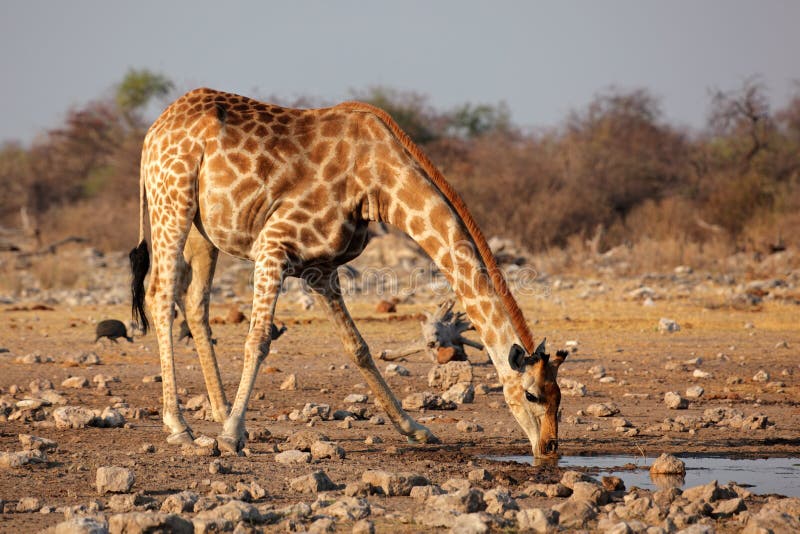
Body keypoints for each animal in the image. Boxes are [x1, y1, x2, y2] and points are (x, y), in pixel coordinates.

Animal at [129, 88, 566, 457]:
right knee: (160, 296)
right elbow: (259, 339)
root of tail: (152, 133)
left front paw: (415, 429)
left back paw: (218, 411)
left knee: (194, 303)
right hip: (172, 204)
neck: (379, 185)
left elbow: (358, 347)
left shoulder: (320, 268)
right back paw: (180, 426)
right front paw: (232, 435)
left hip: (203, 231)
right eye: (532, 395)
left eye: (559, 396)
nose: (548, 449)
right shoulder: (274, 243)